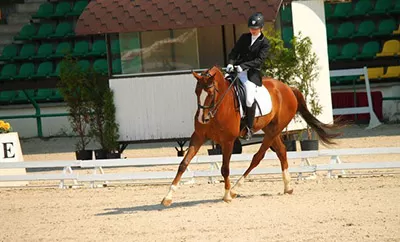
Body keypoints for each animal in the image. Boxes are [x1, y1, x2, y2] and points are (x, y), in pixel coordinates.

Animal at [160, 65, 340, 206]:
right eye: (197, 92)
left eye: (210, 92)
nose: (202, 118)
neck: (219, 108)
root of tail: (288, 88)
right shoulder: (198, 137)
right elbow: (183, 164)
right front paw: (168, 197)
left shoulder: (228, 141)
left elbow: (225, 168)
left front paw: (226, 195)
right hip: (270, 130)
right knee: (282, 152)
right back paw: (287, 186)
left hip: (274, 130)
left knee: (258, 157)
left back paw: (235, 189)